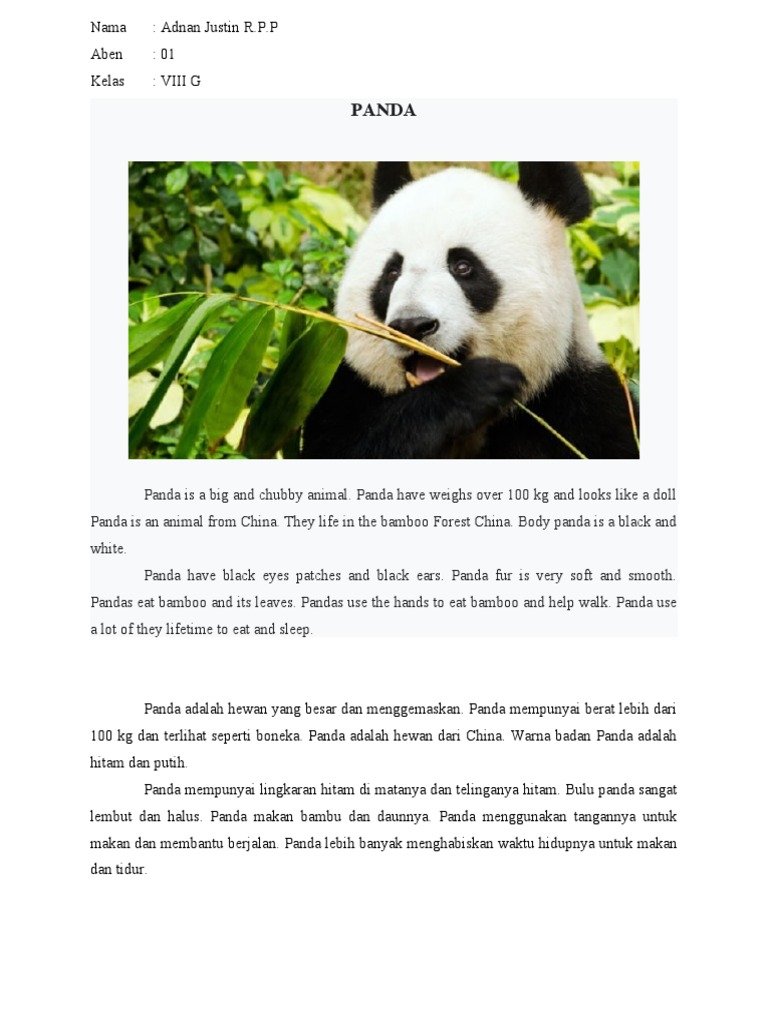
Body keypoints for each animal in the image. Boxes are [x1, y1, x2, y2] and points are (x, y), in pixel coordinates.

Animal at [302, 162, 638, 459]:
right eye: (392, 272)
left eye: (463, 267)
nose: (412, 325)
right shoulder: (344, 395)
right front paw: (473, 388)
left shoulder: (584, 410)